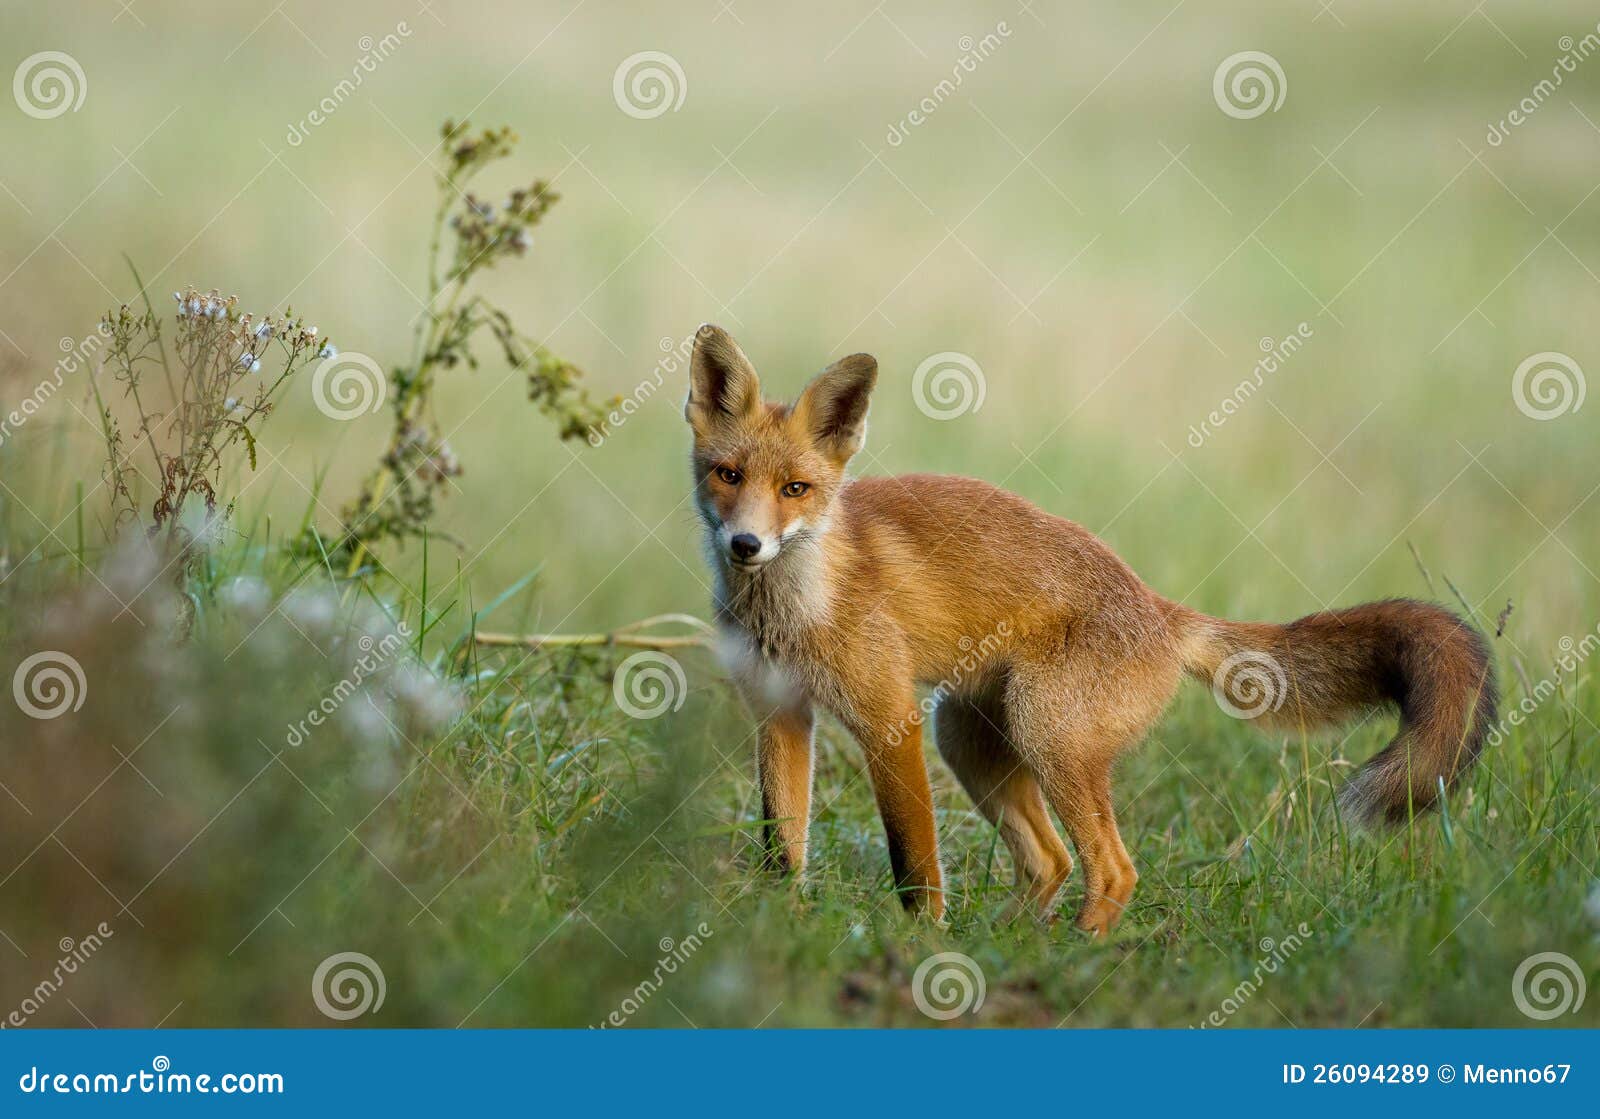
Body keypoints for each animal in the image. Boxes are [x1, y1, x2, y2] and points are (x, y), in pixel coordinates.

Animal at [685, 323, 1497, 934]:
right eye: (728, 475)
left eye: (796, 489)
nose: (746, 545)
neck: (796, 609)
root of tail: (1160, 608)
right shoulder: (781, 714)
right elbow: (781, 843)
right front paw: (778, 921)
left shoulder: (891, 720)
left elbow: (914, 861)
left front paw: (921, 943)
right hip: (974, 738)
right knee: (1053, 860)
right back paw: (1012, 943)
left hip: (1043, 732)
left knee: (1113, 868)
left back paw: (1078, 949)